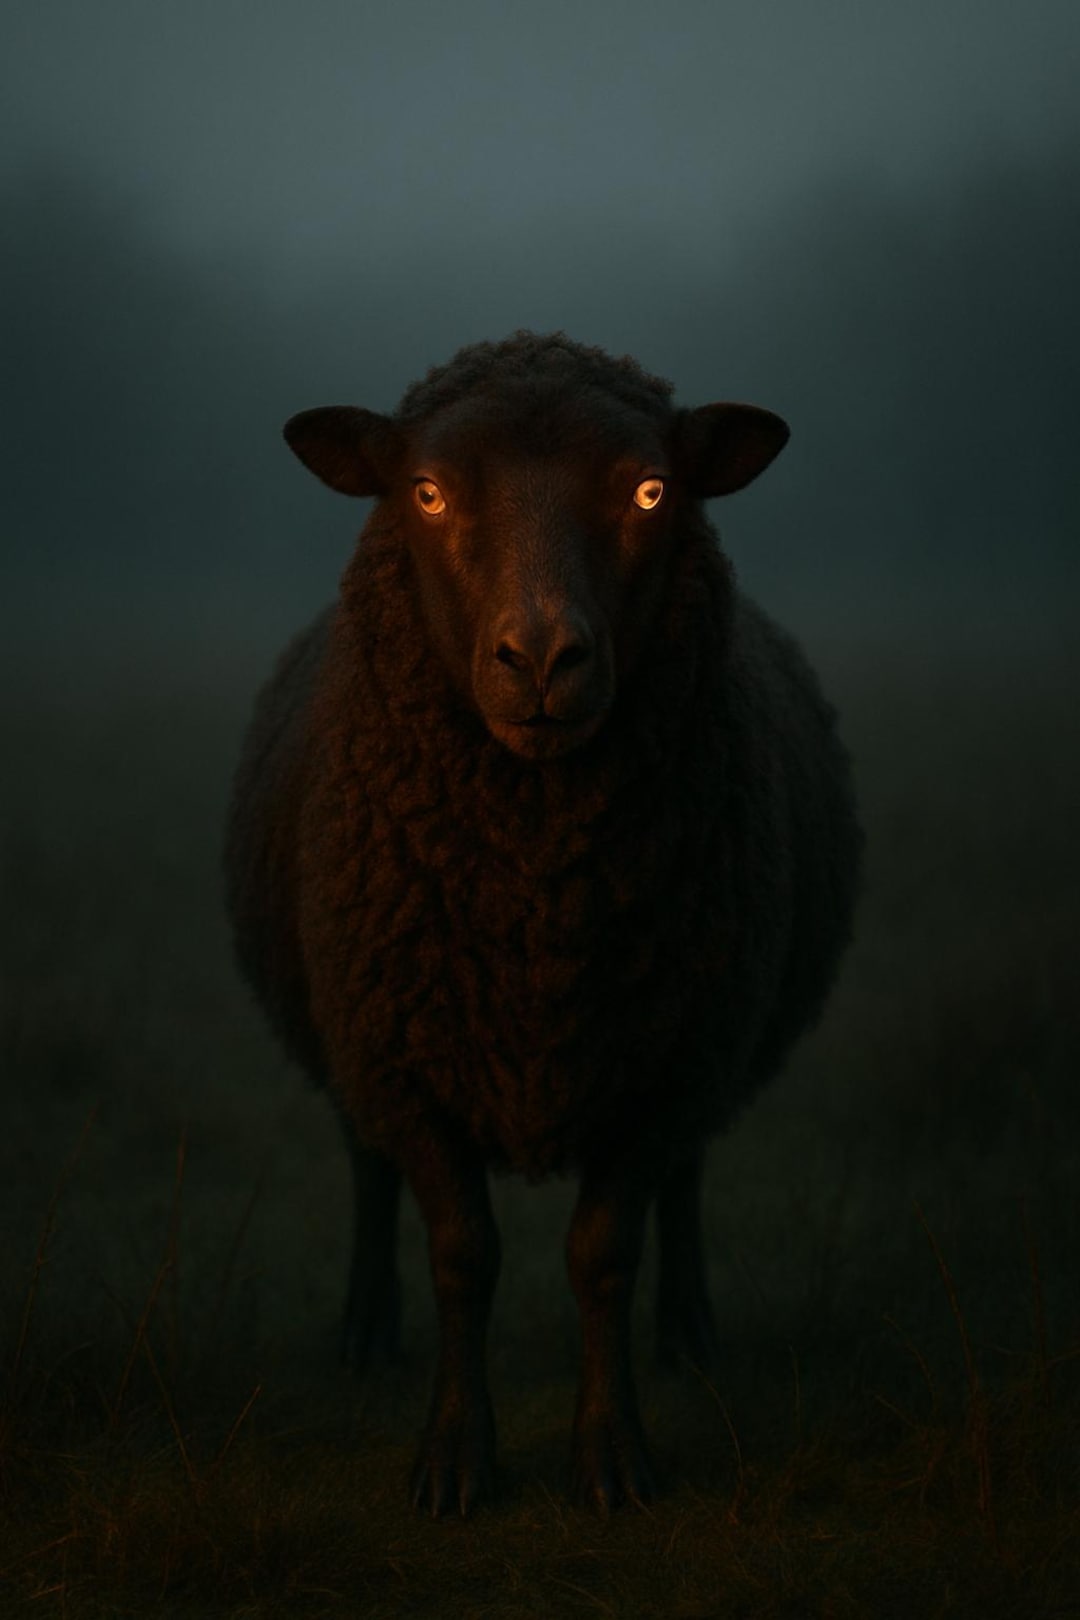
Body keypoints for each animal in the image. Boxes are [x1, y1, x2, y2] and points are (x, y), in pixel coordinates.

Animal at [224, 329, 862, 1518]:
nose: (542, 660)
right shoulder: (408, 1058)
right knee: (366, 1168)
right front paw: (453, 1462)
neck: (534, 902)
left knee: (685, 1182)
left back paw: (688, 1333)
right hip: (349, 1035)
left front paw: (612, 1458)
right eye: (425, 492)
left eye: (653, 490)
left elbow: (603, 1252)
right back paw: (365, 1334)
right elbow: (461, 1255)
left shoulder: (664, 1058)